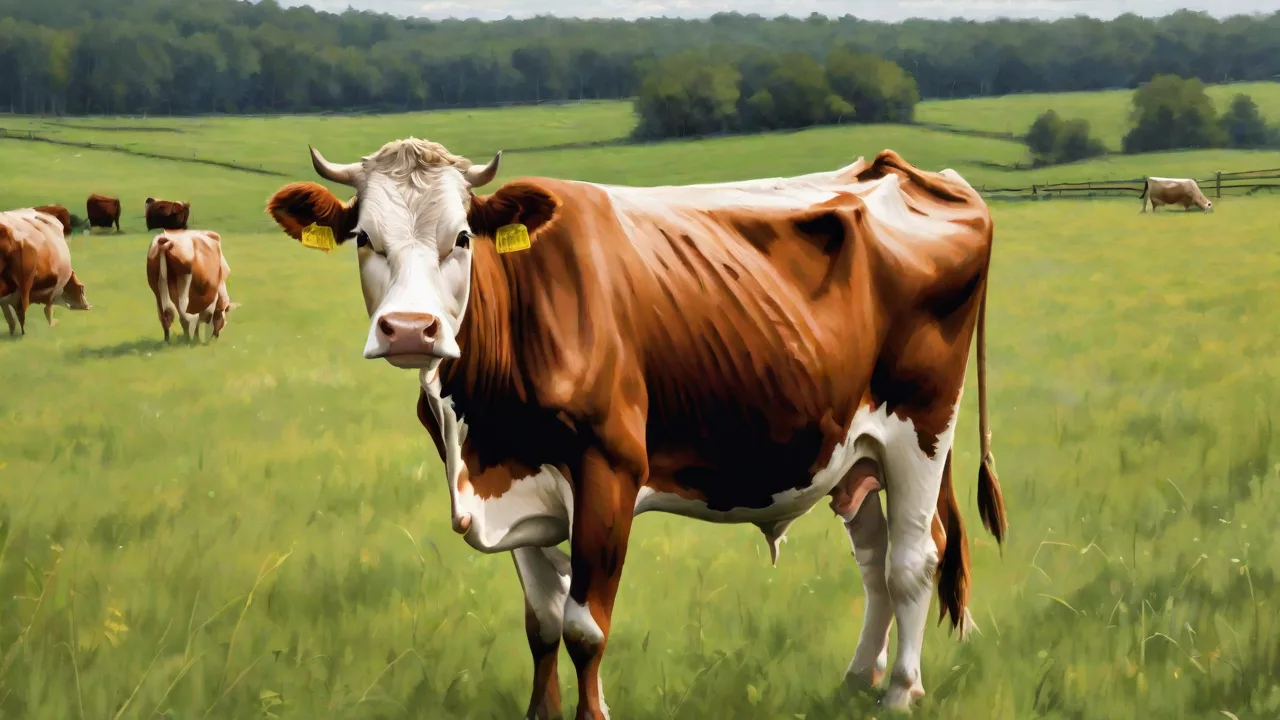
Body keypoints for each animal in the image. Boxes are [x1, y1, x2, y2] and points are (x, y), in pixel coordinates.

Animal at [264, 138, 1009, 719]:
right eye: (365, 238)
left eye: (463, 237)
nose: (410, 330)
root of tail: (907, 170)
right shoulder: (520, 484)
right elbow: (541, 623)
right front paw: (541, 712)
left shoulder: (609, 469)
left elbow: (584, 626)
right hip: (852, 450)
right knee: (875, 558)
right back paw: (859, 679)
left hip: (922, 425)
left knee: (915, 558)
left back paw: (901, 693)